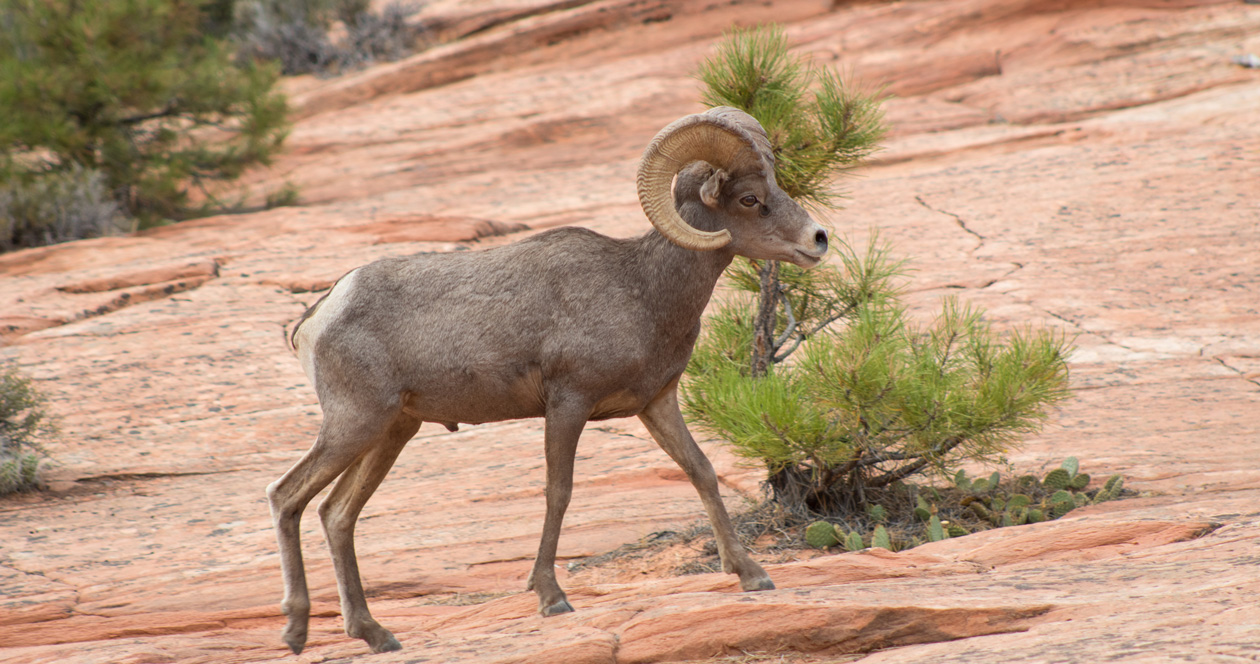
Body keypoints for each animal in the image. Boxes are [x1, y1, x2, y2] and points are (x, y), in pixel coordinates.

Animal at [268, 106, 829, 654]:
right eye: (750, 198)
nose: (818, 239)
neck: (641, 289)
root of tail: (318, 317)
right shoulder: (568, 404)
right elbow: (558, 491)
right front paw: (551, 597)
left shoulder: (656, 404)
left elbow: (703, 472)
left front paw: (752, 575)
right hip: (355, 424)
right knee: (286, 496)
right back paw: (296, 631)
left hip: (392, 432)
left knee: (337, 515)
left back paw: (375, 633)